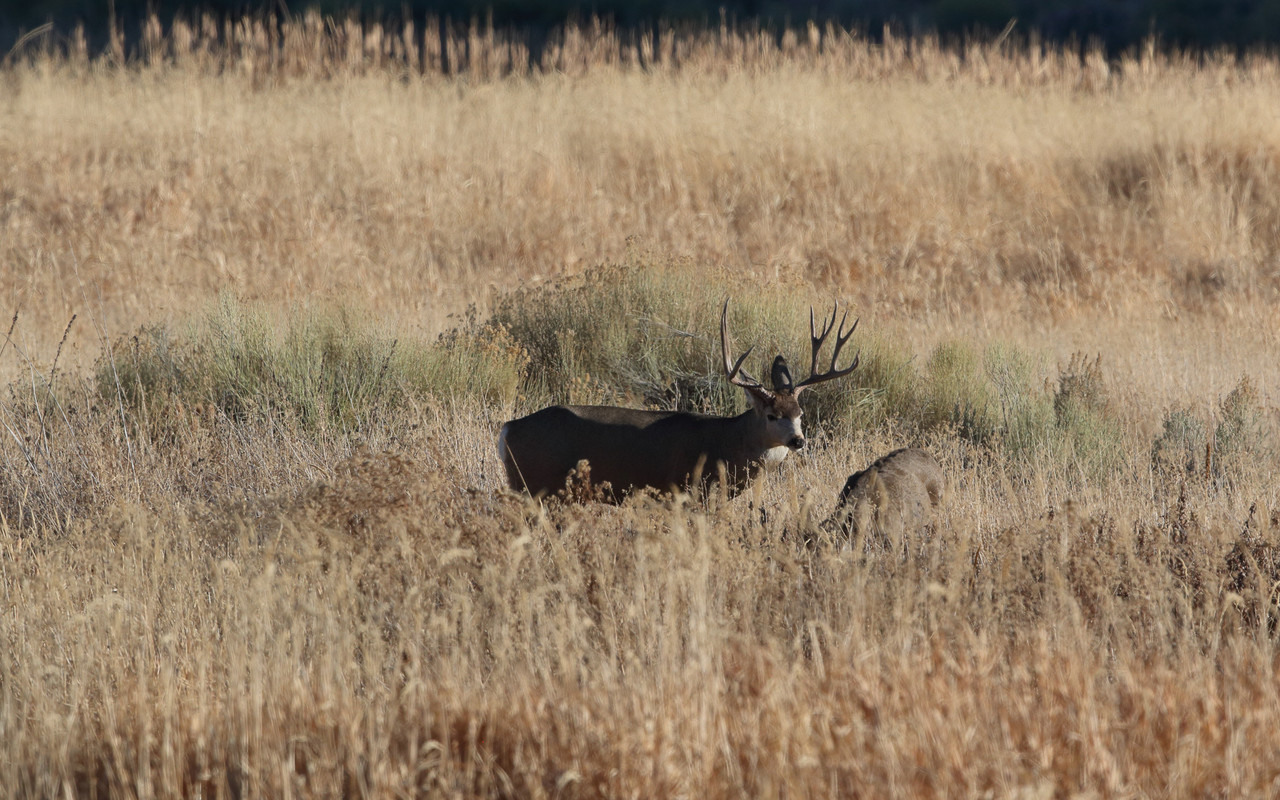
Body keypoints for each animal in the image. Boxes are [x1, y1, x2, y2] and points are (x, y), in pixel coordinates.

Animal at [497, 300, 859, 502]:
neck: (727, 444)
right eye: (771, 415)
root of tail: (507, 430)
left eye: (800, 412)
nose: (798, 441)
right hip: (534, 484)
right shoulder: (687, 492)